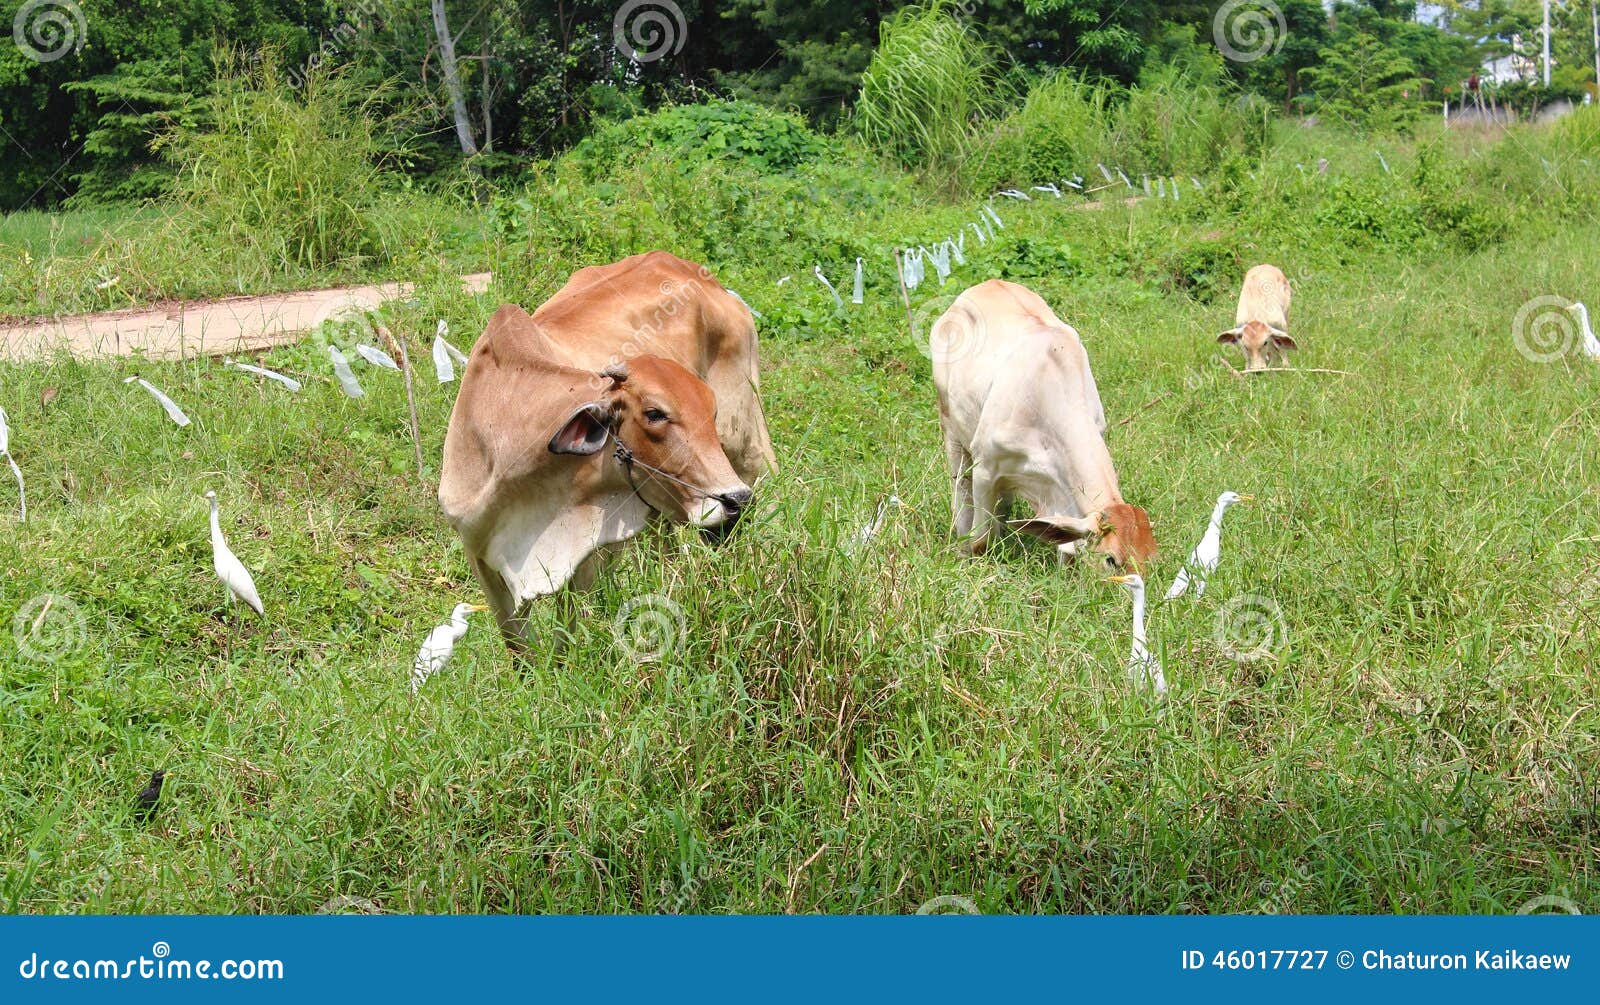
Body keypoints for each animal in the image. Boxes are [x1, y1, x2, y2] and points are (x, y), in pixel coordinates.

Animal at [438, 251, 777, 652]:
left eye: (710, 410)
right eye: (654, 413)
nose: (735, 500)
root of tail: (693, 271)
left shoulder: (586, 553)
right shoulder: (481, 559)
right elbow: (521, 649)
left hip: (747, 444)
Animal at [930, 279, 1157, 571]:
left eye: (1150, 560)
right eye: (1111, 559)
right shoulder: (985, 470)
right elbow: (981, 541)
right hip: (950, 426)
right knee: (961, 489)